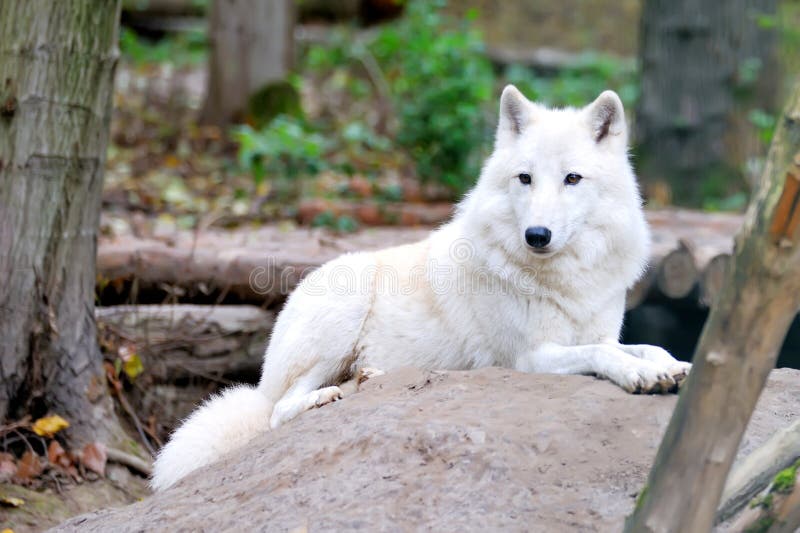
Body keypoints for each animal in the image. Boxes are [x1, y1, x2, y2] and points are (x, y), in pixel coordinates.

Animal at [151, 86, 692, 491]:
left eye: (572, 179)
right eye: (525, 178)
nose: (536, 235)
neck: (565, 278)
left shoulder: (597, 332)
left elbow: (641, 345)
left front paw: (673, 366)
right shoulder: (529, 357)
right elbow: (605, 356)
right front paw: (641, 375)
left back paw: (367, 377)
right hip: (339, 317)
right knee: (278, 412)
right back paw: (325, 398)